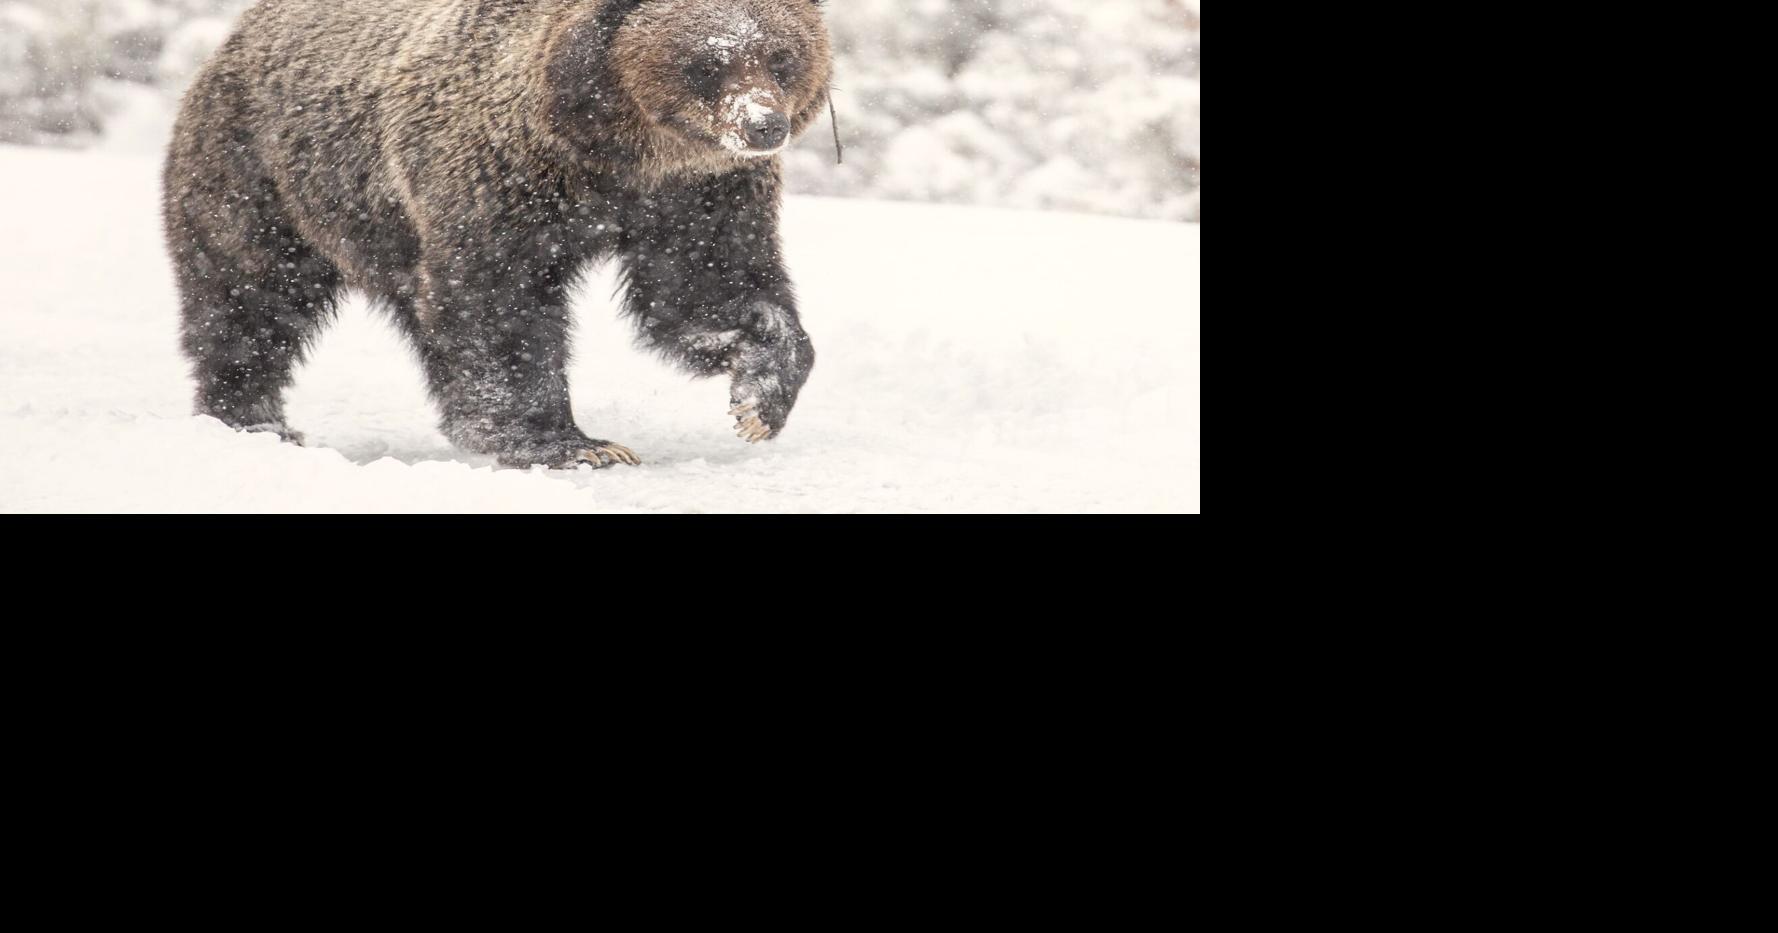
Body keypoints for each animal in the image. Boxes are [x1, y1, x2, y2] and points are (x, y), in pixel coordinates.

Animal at [162, 0, 832, 468]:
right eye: (706, 63)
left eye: (781, 57)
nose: (764, 124)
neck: (614, 157)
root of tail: (233, 37)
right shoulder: (500, 179)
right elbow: (501, 305)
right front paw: (572, 443)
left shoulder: (700, 197)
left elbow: (708, 289)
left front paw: (758, 398)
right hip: (265, 176)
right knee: (249, 300)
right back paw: (252, 419)